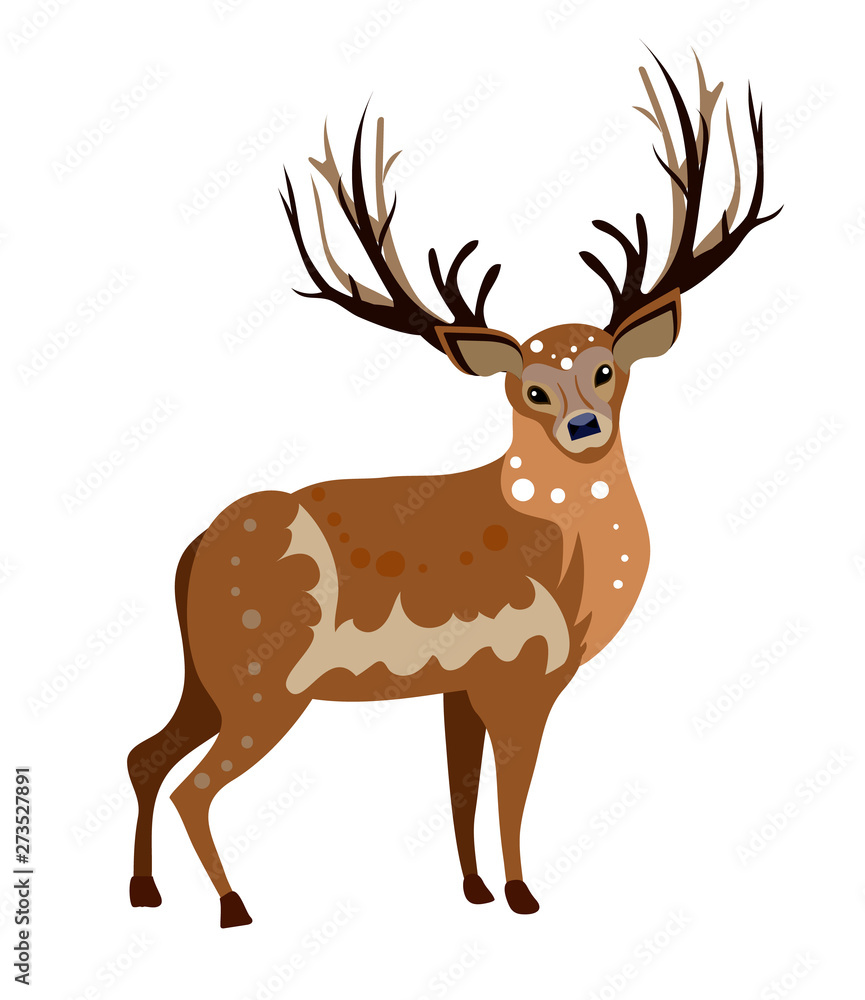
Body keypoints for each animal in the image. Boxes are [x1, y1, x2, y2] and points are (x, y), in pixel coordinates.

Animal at [127, 53, 780, 927]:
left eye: (606, 368)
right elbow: (510, 790)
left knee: (144, 754)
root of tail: (195, 550)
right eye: (529, 389)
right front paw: (522, 894)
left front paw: (473, 892)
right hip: (266, 679)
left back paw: (145, 892)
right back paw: (233, 907)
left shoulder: (458, 684)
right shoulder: (523, 673)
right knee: (193, 787)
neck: (575, 575)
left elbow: (459, 788)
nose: (582, 428)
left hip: (208, 677)